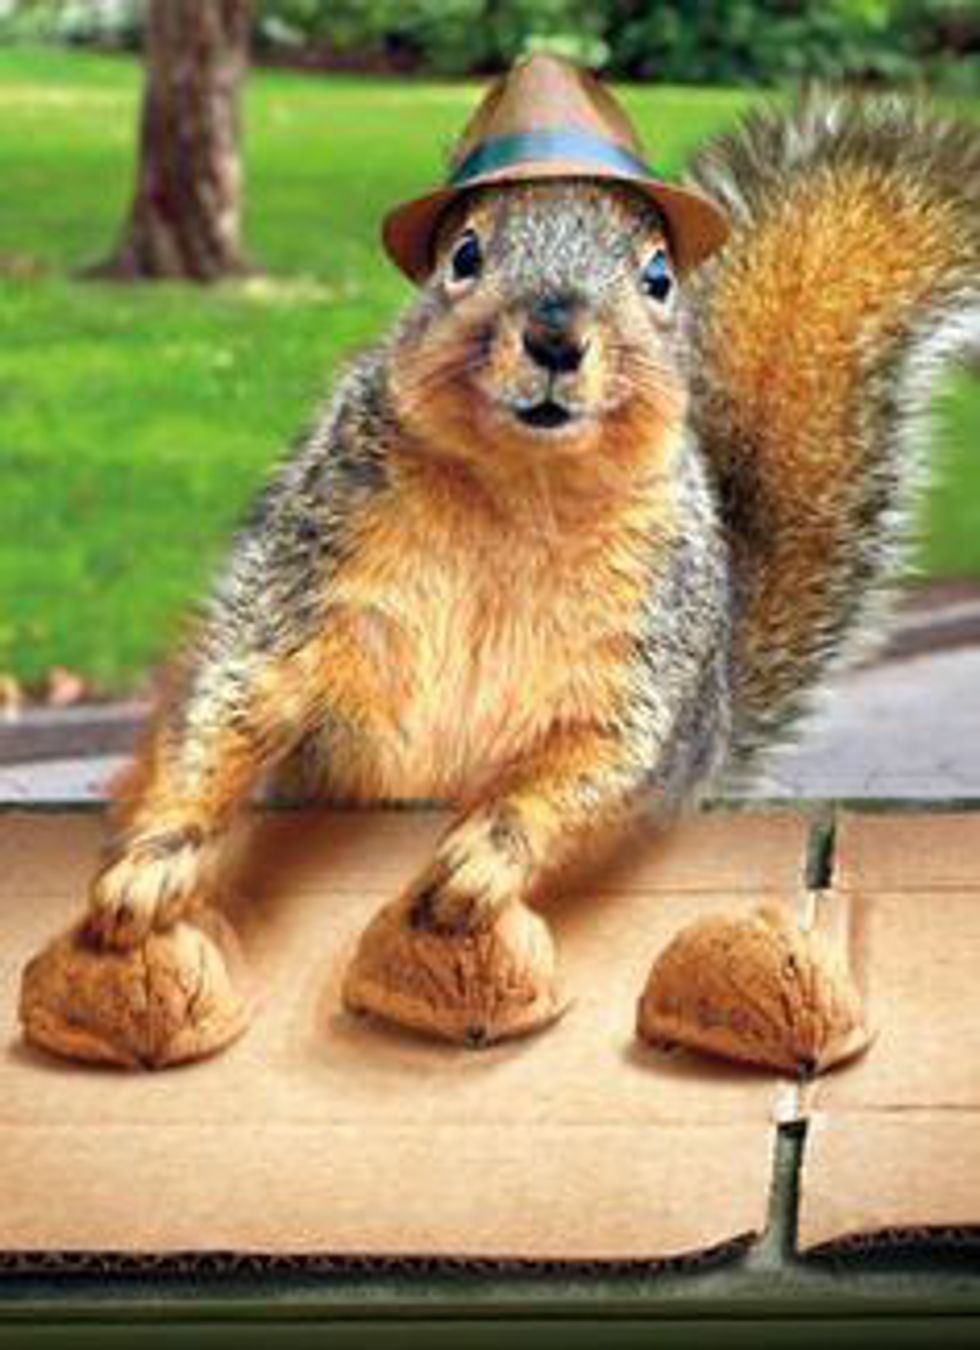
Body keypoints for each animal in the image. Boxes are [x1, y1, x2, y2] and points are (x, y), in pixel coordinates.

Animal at [83, 85, 979, 953]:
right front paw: (156, 859)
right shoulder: (316, 566)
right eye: (463, 256)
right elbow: (238, 702)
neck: (520, 493)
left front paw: (487, 856)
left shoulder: (639, 648)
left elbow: (592, 762)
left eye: (659, 276)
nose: (554, 335)